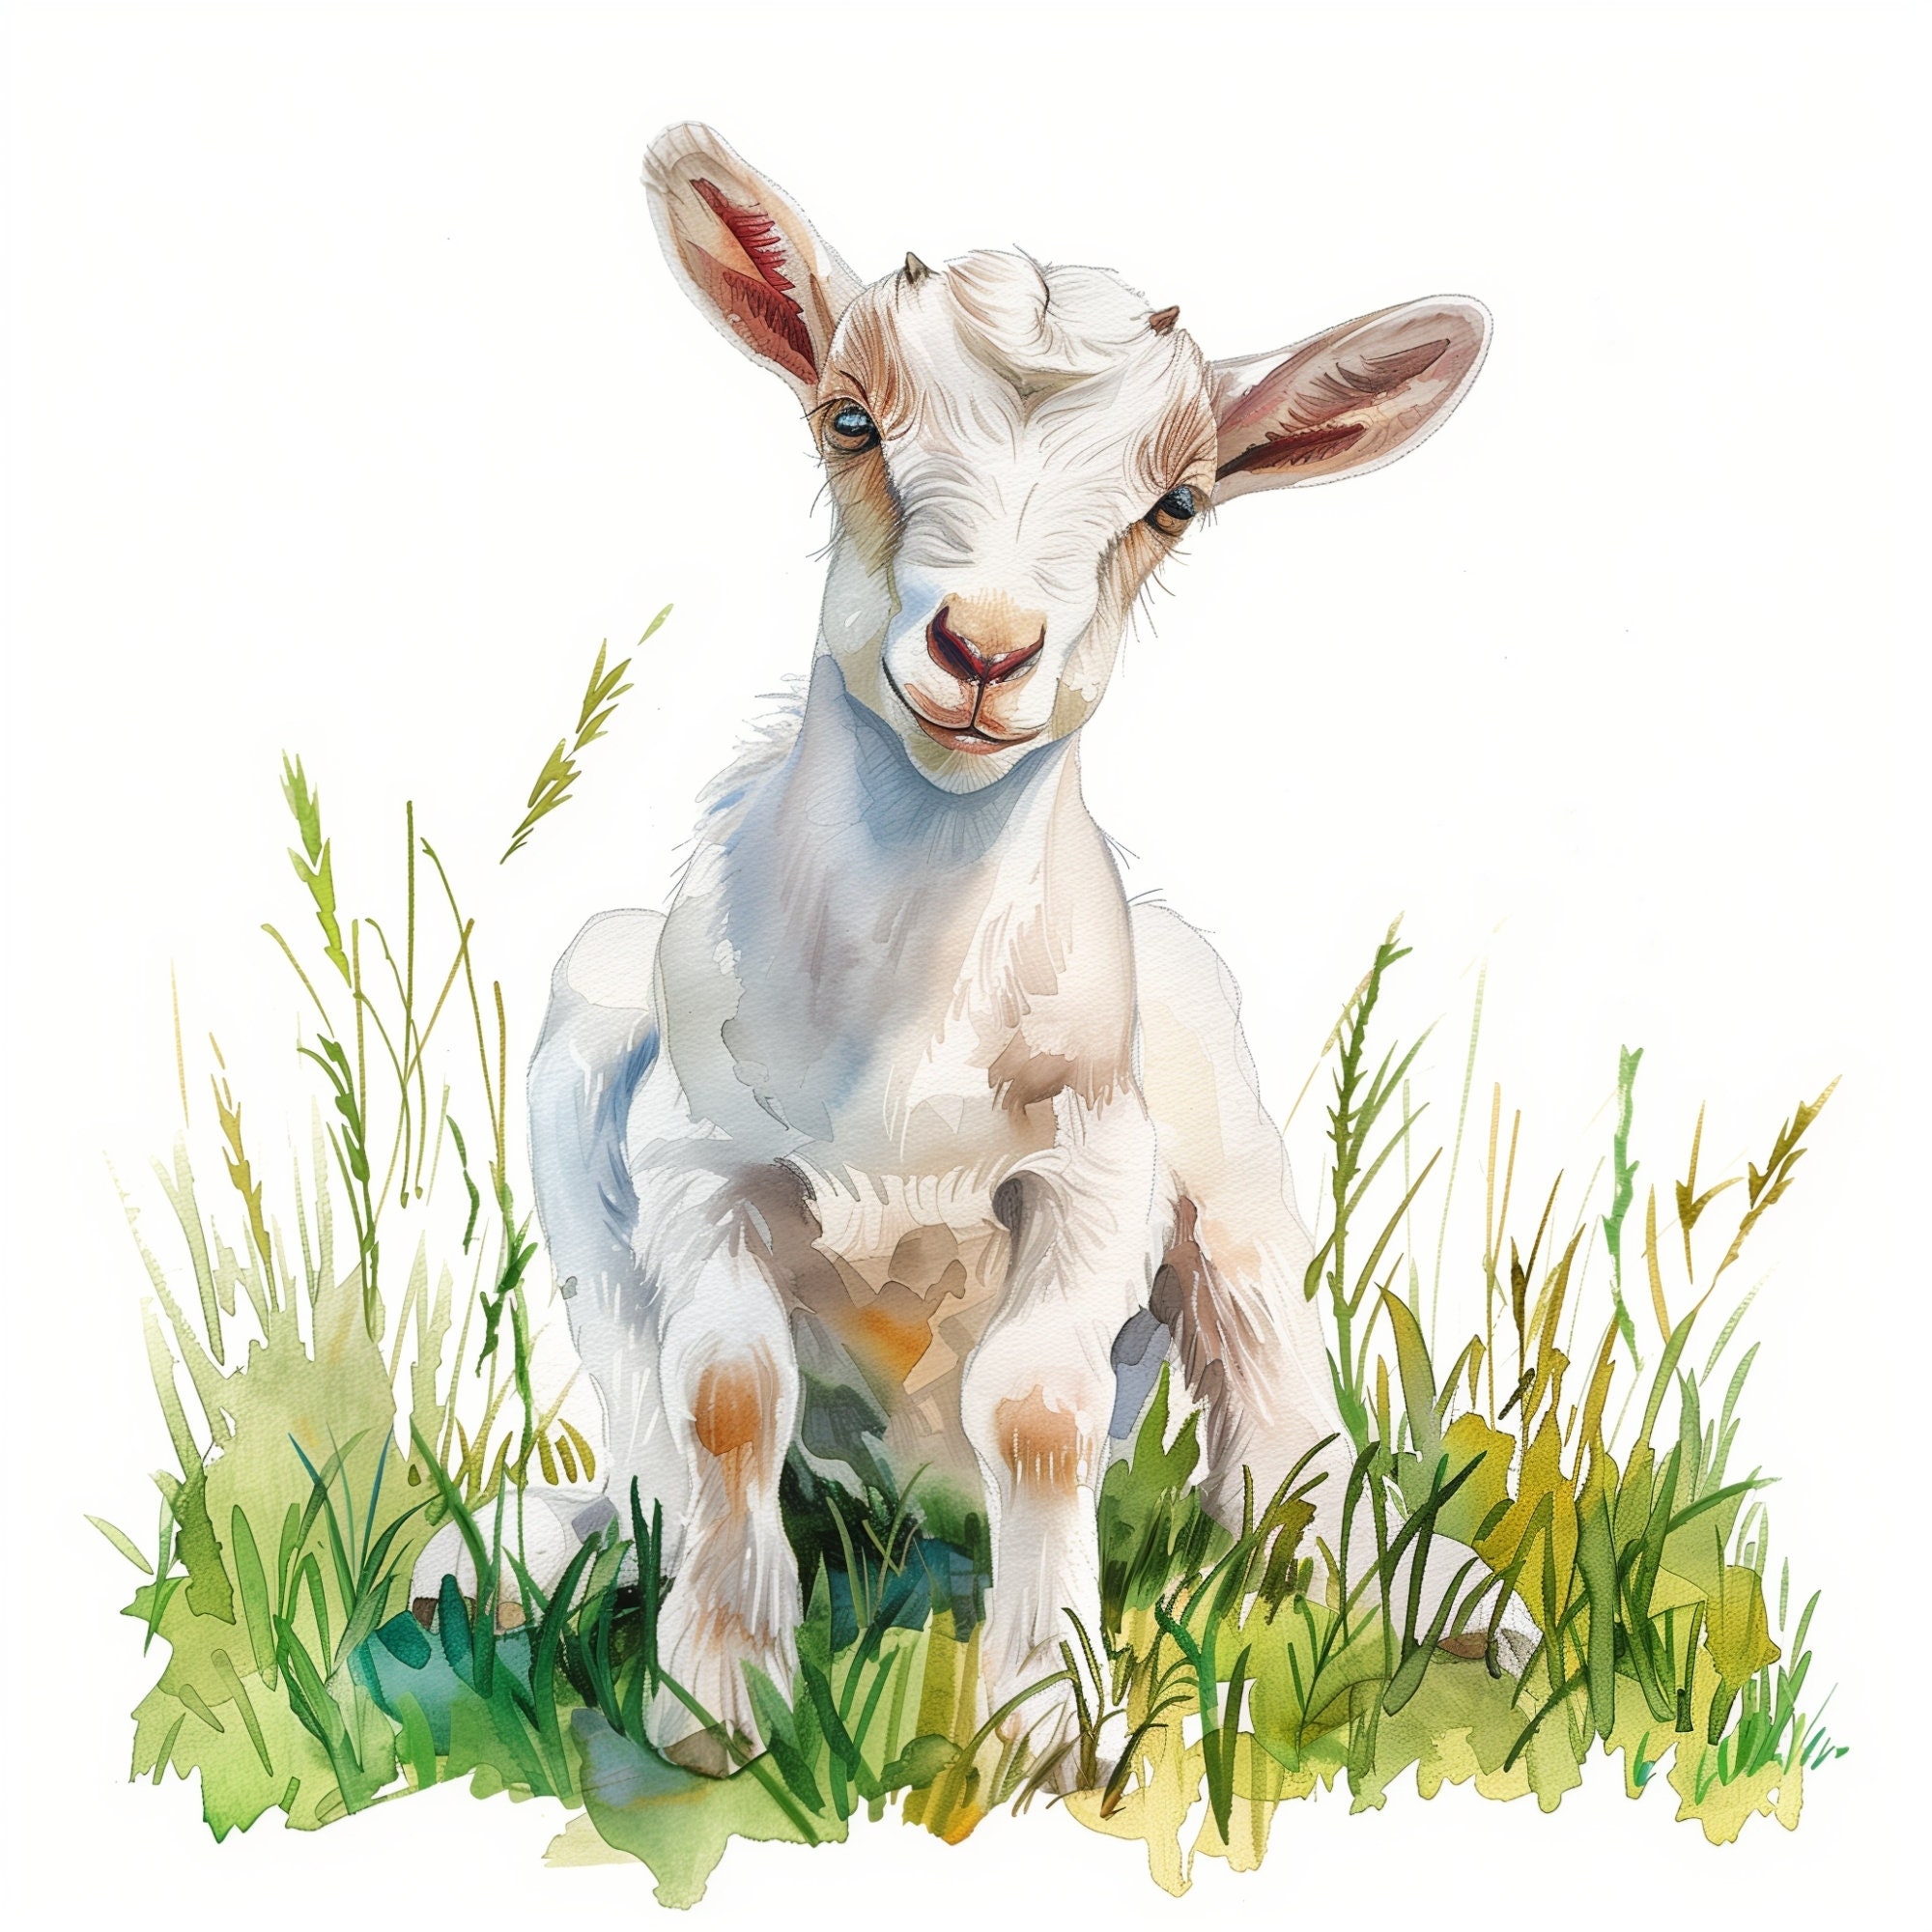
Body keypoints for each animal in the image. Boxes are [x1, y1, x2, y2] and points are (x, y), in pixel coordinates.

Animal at [411, 121, 1529, 1775]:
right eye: (851, 418)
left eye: (1178, 503)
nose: (987, 649)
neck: (907, 1017)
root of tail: (912, 1513)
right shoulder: (697, 1164)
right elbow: (722, 1391)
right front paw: (719, 1692)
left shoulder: (1095, 1169)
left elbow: (1043, 1408)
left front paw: (1049, 1710)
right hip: (585, 1042)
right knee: (651, 1433)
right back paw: (527, 1556)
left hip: (1221, 1117)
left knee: (1272, 1429)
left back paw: (1435, 1596)